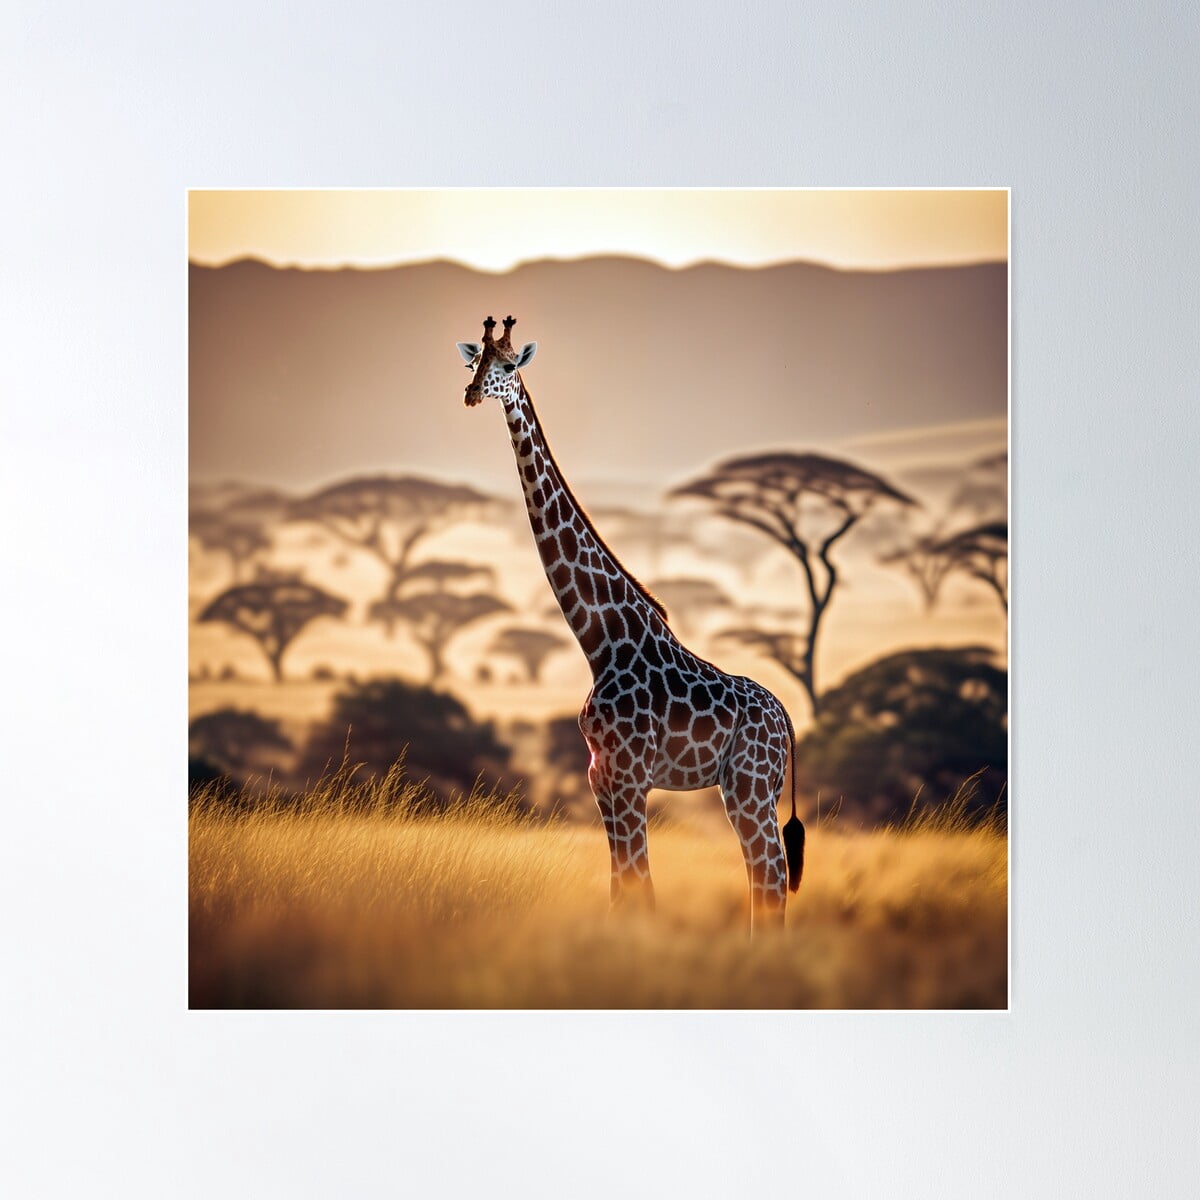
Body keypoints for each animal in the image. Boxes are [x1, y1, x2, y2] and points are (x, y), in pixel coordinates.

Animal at [456, 316, 805, 932]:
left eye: (508, 365)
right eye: (475, 362)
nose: (474, 393)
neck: (600, 640)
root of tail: (786, 718)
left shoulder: (630, 774)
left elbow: (640, 884)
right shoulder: (601, 775)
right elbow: (624, 885)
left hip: (750, 784)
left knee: (770, 874)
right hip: (742, 787)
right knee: (765, 876)